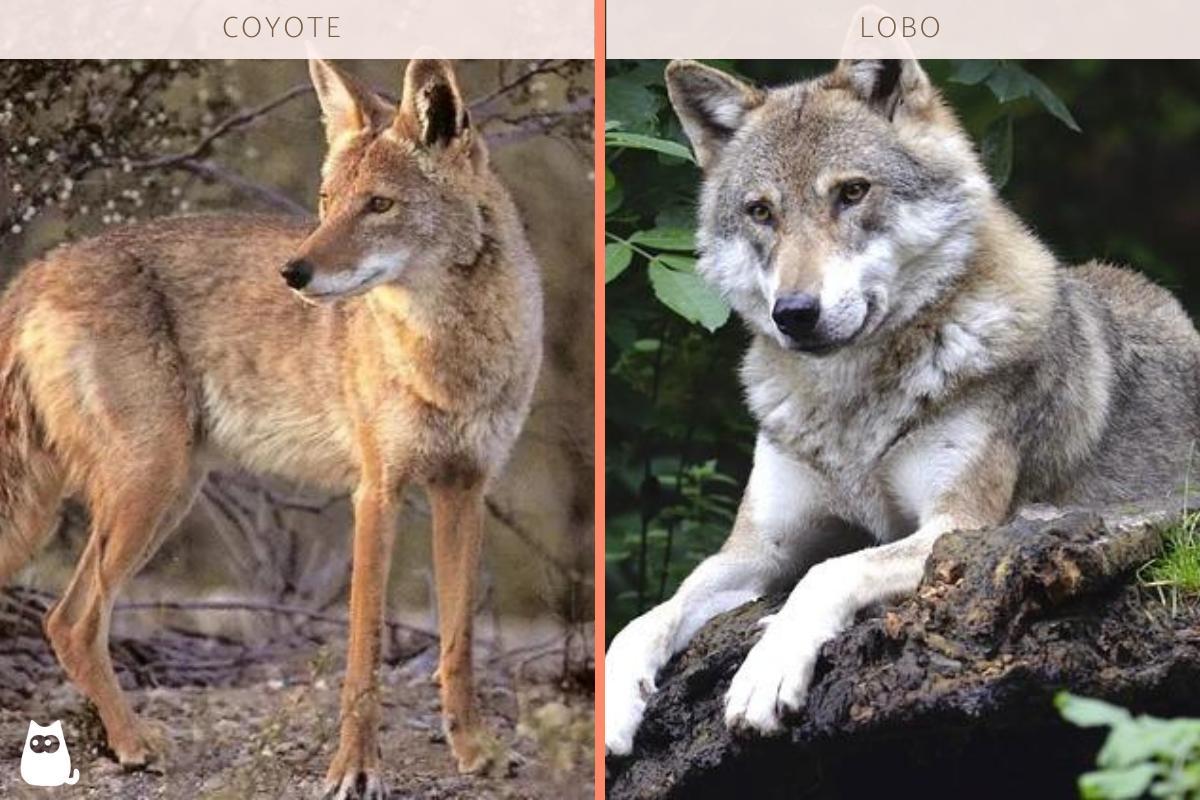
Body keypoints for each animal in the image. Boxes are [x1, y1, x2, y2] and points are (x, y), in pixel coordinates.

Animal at [0, 59, 542, 798]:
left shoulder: (463, 489)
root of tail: (36, 270)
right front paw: (355, 770)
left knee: (66, 620)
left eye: (378, 206)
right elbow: (364, 654)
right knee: (72, 620)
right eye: (326, 200)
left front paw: (475, 752)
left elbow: (456, 645)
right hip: (148, 490)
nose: (293, 272)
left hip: (166, 496)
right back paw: (134, 745)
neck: (448, 358)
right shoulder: (376, 495)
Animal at [605, 58, 1200, 755]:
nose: (793, 313)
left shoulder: (958, 527)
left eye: (852, 192)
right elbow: (649, 616)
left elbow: (828, 572)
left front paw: (766, 671)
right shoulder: (757, 551)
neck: (851, 406)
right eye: (760, 211)